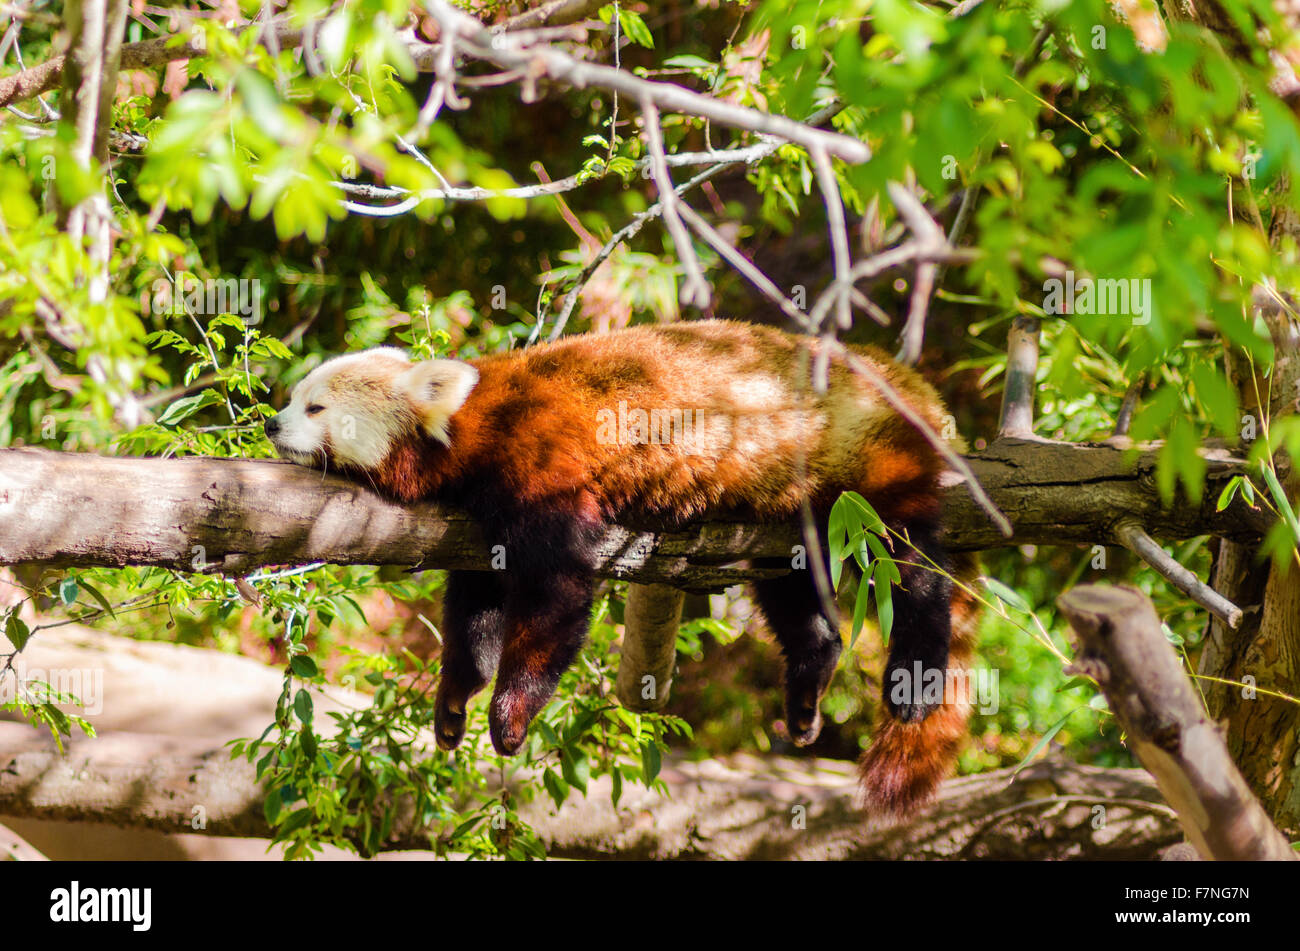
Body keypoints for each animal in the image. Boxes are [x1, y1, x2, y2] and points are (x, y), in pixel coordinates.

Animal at [264, 319, 980, 815]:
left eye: (316, 407)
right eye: (295, 398)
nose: (272, 424)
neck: (474, 425)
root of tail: (905, 381)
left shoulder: (542, 464)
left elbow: (555, 599)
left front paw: (510, 715)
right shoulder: (476, 524)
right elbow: (476, 609)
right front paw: (454, 703)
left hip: (870, 464)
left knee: (912, 570)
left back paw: (913, 679)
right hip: (790, 512)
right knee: (794, 591)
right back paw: (807, 684)